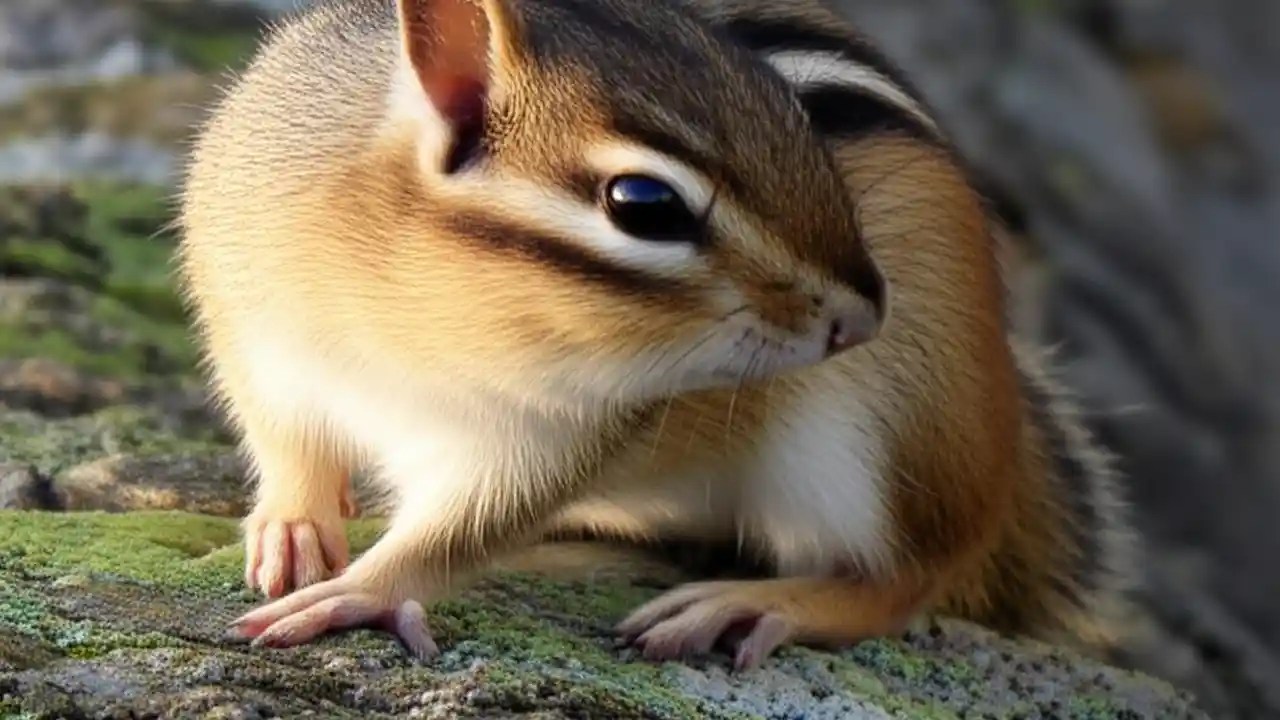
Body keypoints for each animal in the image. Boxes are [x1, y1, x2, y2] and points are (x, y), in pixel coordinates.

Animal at [179, 0, 1135, 670]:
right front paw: (295, 523)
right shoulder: (256, 335)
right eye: (644, 204)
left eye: (797, 118)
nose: (865, 314)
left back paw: (752, 603)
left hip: (876, 435)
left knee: (909, 577)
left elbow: (465, 529)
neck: (414, 317)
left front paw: (360, 592)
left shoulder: (560, 428)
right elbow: (288, 441)